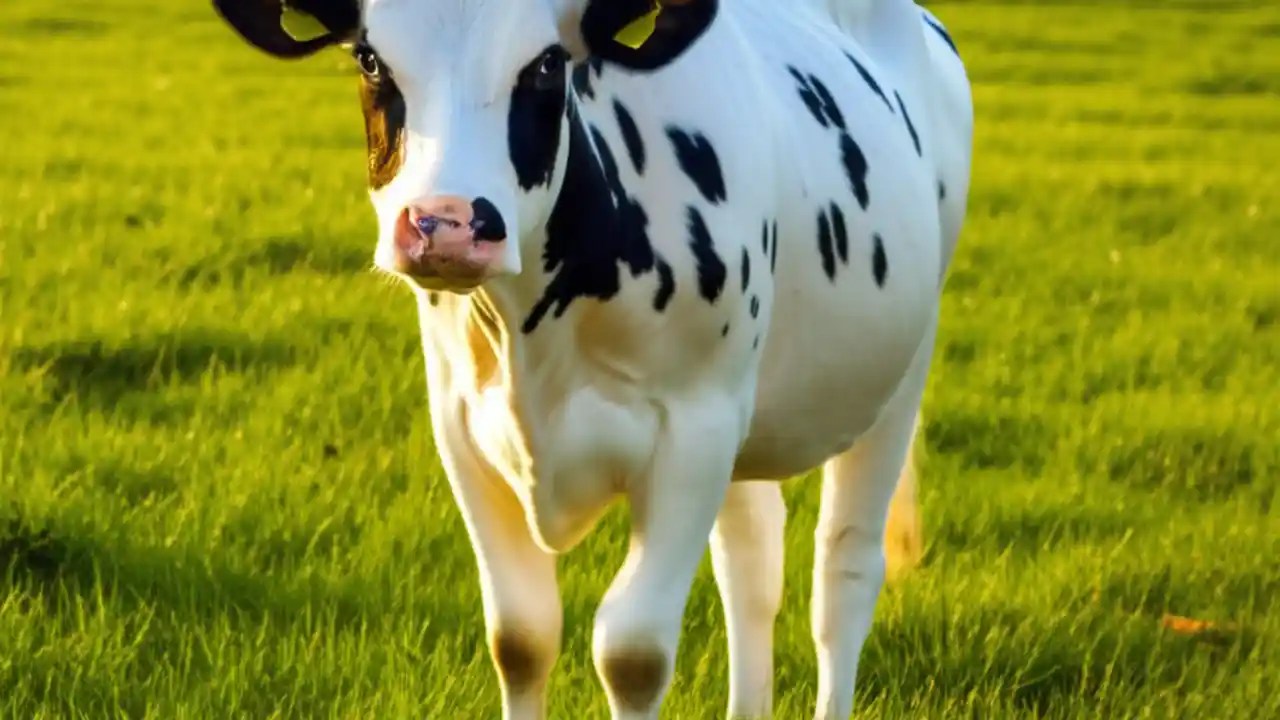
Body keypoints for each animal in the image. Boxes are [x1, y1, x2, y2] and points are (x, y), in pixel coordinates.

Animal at [211, 0, 972, 717]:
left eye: (549, 63)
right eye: (370, 58)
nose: (446, 225)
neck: (534, 340)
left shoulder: (694, 430)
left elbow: (632, 653)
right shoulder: (462, 426)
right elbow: (519, 638)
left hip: (899, 371)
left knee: (844, 572)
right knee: (752, 563)